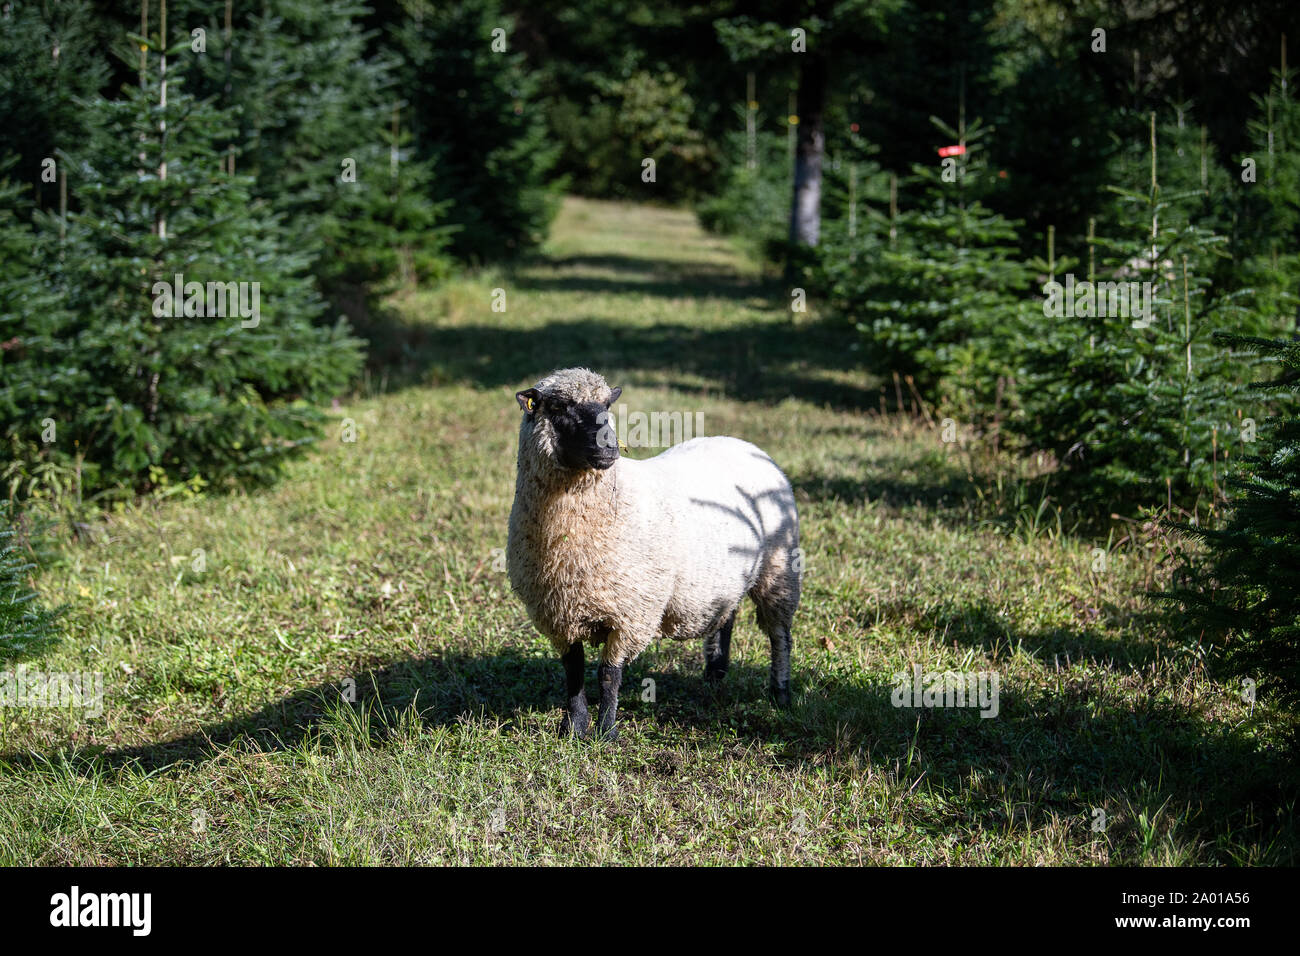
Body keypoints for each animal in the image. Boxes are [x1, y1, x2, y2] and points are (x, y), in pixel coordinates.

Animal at [506, 367, 801, 740]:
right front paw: (573, 728)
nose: (609, 446)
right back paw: (715, 677)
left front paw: (605, 732)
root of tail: (745, 445)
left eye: (607, 404)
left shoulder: (632, 614)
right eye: (559, 406)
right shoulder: (558, 614)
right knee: (727, 617)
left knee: (780, 636)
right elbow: (573, 671)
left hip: (779, 570)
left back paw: (781, 695)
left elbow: (608, 675)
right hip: (726, 577)